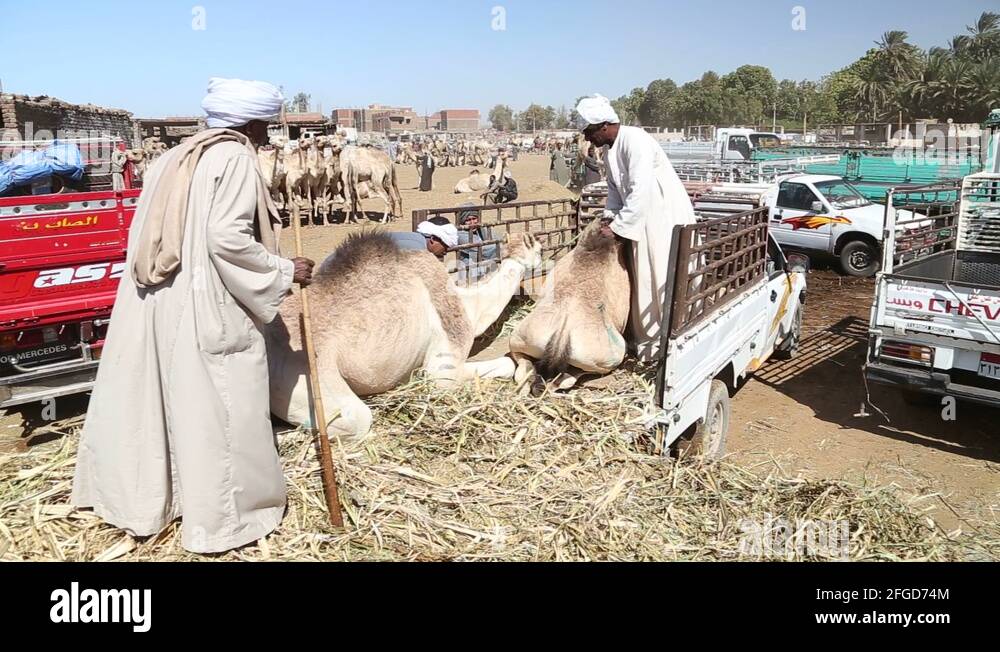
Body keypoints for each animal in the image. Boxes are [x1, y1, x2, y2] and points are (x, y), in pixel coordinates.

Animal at [266, 230, 543, 440]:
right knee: (355, 421)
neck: (468, 307)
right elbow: (505, 364)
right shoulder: (443, 366)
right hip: (309, 380)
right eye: (539, 250)